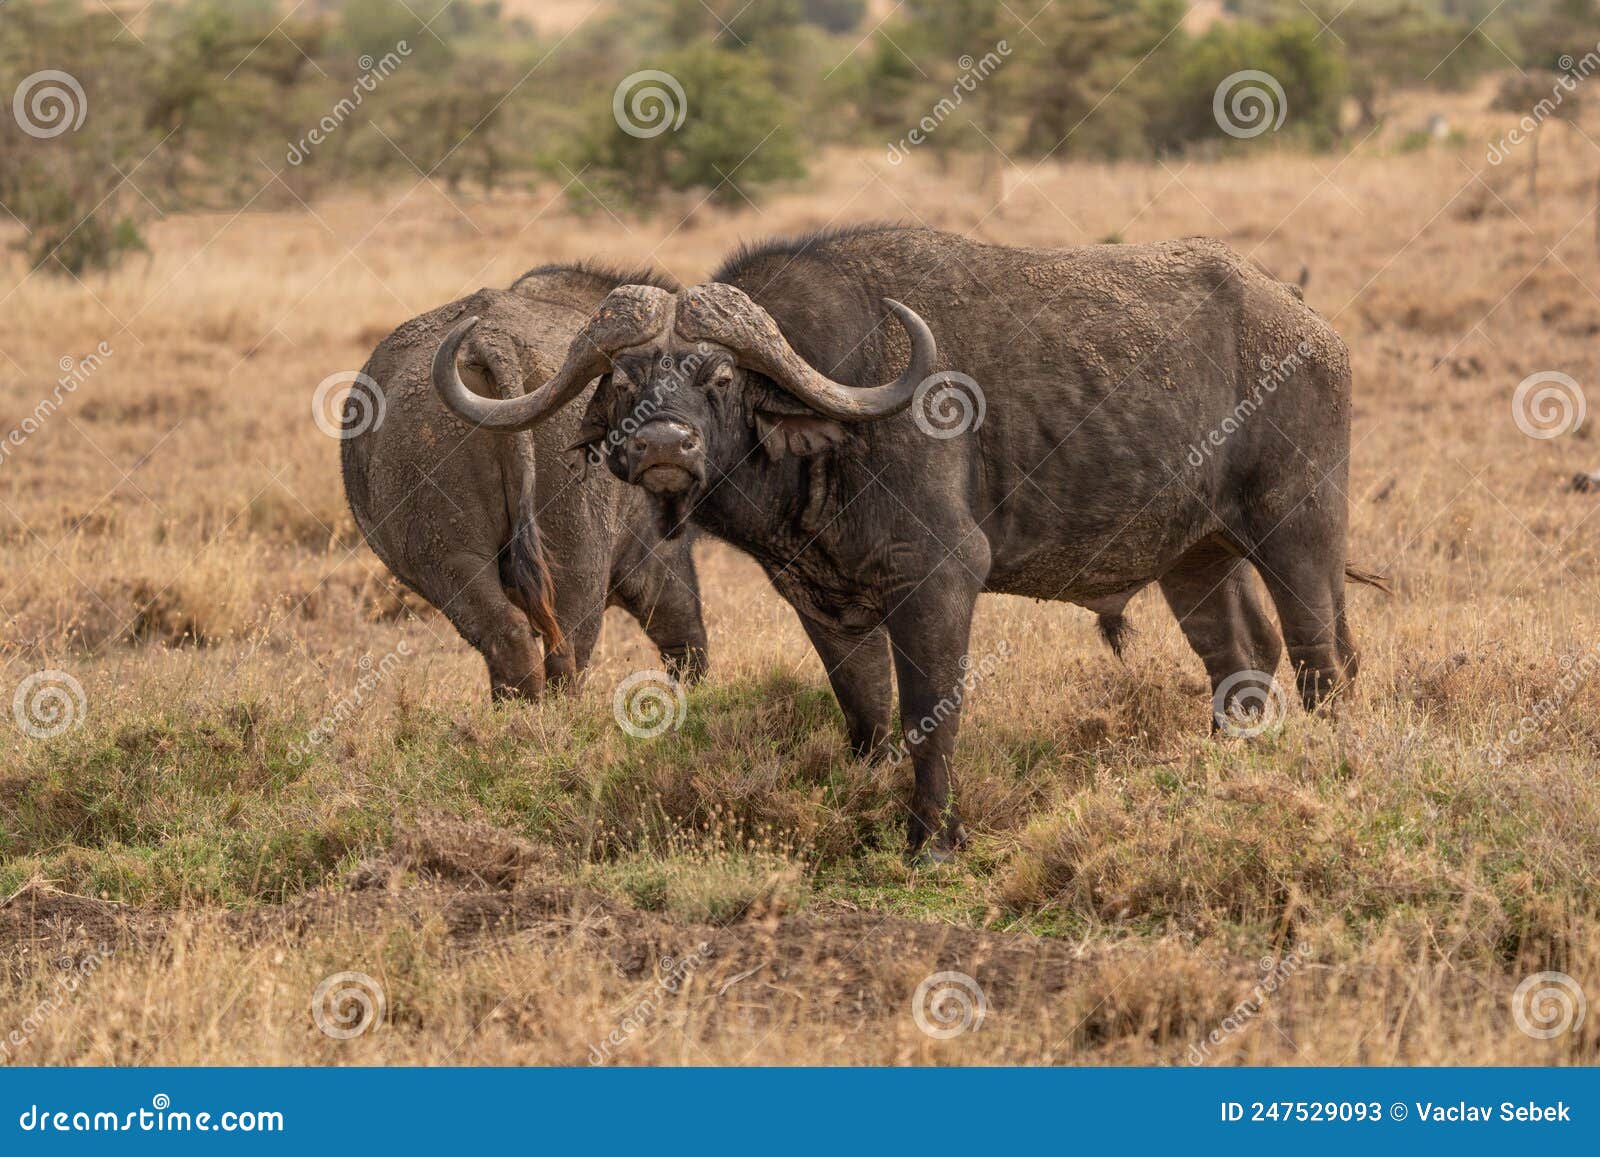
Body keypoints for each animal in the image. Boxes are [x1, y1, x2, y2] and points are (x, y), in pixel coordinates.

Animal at [432, 225, 1375, 860]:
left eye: (721, 376)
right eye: (625, 379)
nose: (665, 444)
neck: (829, 439)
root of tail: (1307, 325)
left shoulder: (941, 582)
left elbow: (932, 715)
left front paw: (932, 838)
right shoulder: (822, 603)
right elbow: (865, 711)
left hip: (1298, 529)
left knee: (1324, 657)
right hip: (1195, 557)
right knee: (1242, 660)